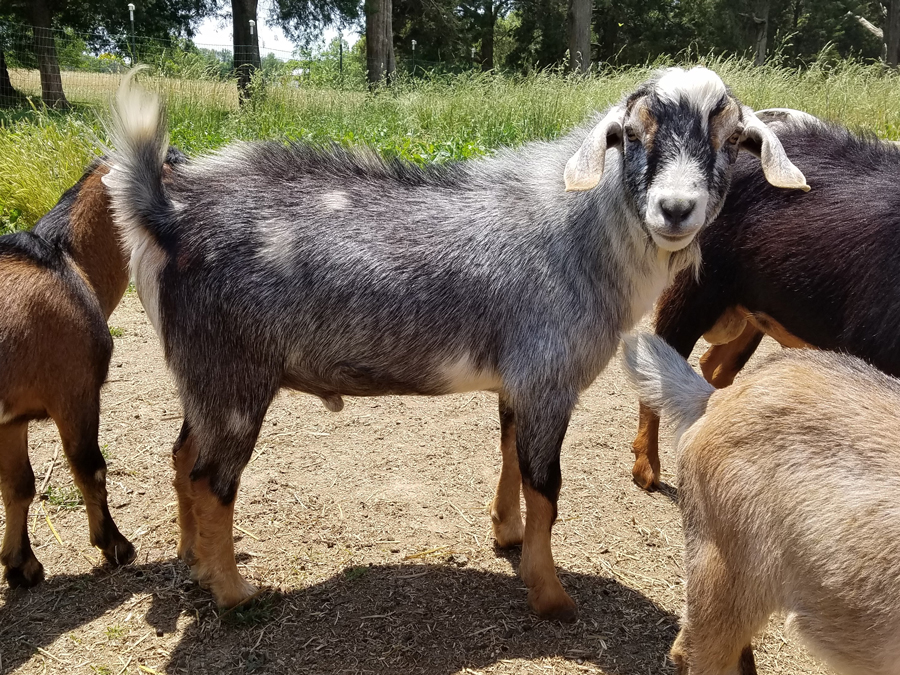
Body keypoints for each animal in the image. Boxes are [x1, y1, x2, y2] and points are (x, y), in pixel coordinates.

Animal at [0, 149, 184, 587]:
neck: (68, 265)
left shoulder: (10, 419)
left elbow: (18, 485)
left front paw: (22, 565)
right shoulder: (74, 390)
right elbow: (90, 467)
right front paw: (115, 545)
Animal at [103, 67, 807, 619]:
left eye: (730, 137)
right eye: (634, 132)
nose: (675, 208)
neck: (580, 236)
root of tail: (167, 216)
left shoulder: (519, 380)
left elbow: (510, 459)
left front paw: (507, 537)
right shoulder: (548, 379)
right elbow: (547, 488)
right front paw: (552, 597)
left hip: (201, 375)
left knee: (181, 457)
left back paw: (193, 562)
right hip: (234, 377)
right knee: (211, 479)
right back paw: (234, 593)